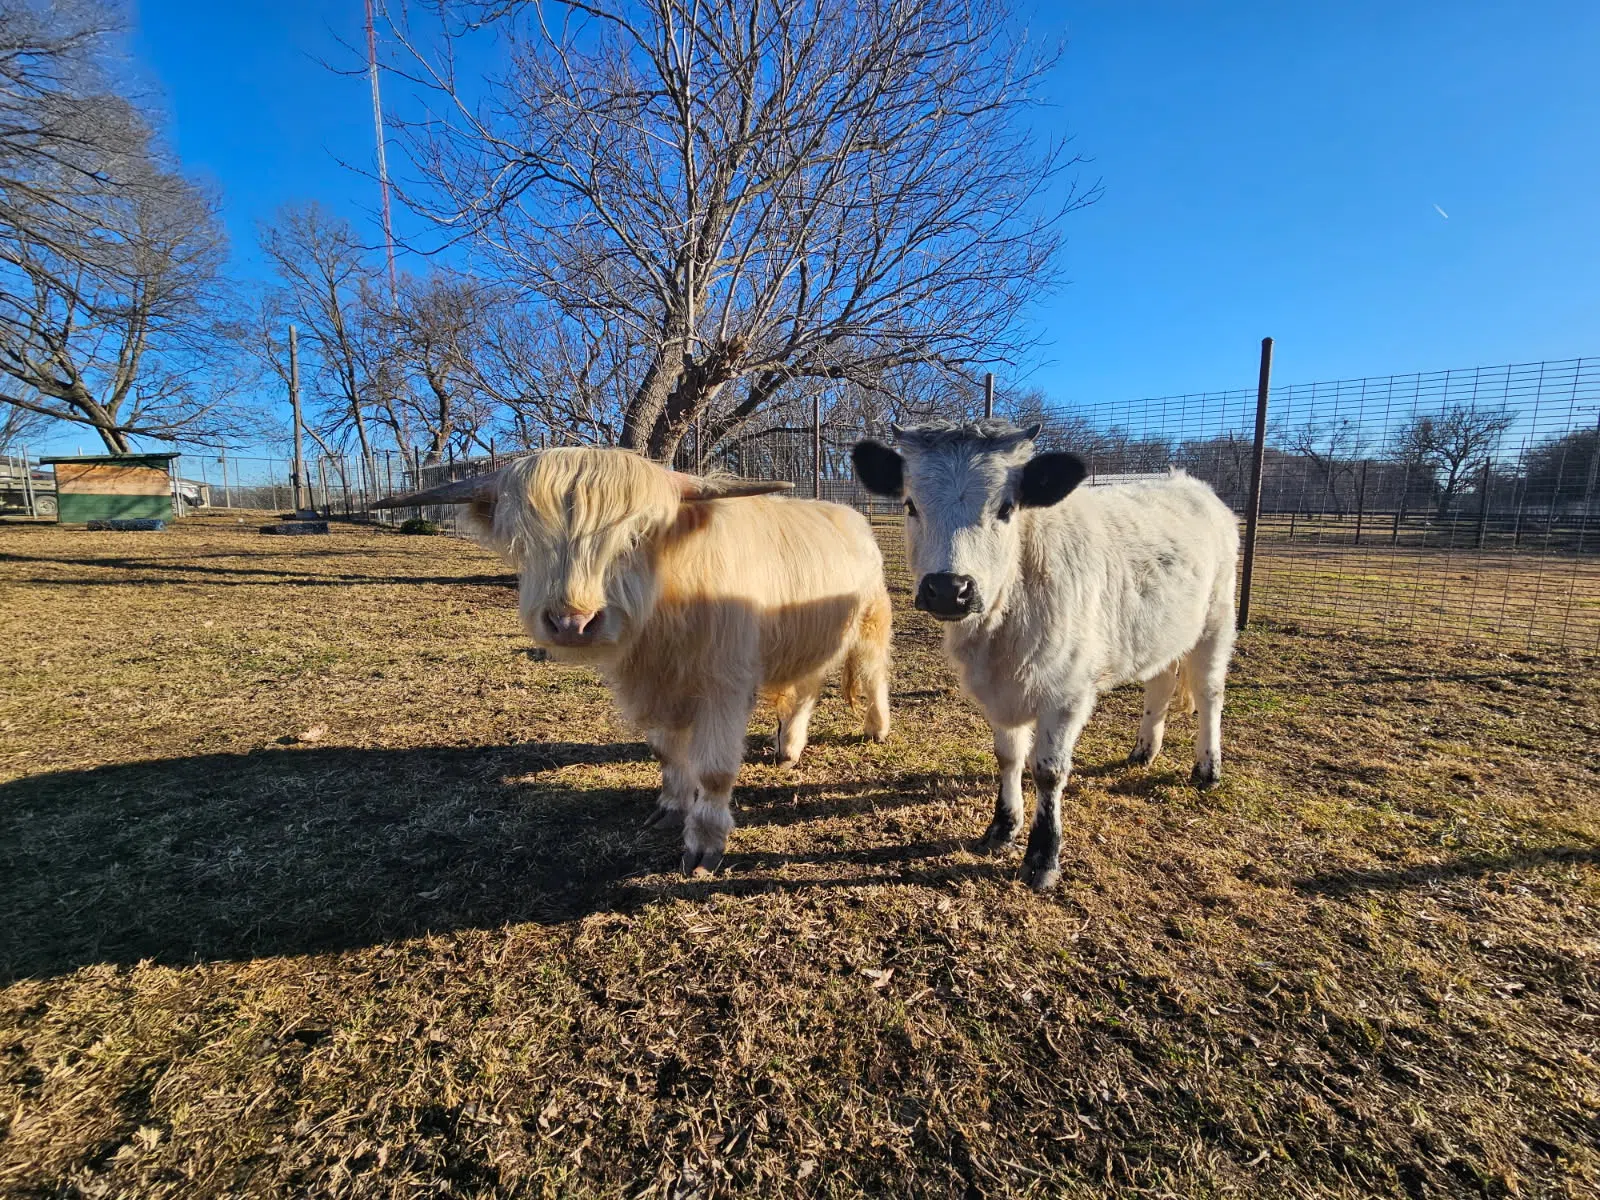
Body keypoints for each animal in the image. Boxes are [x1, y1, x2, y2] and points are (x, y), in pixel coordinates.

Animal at [379, 448, 892, 875]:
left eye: (633, 538)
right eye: (525, 543)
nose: (571, 622)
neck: (665, 612)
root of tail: (849, 514)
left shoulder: (724, 684)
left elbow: (714, 769)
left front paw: (704, 845)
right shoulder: (651, 685)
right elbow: (666, 752)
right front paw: (670, 807)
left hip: (870, 623)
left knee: (872, 674)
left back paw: (876, 728)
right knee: (805, 690)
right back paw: (788, 748)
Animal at [851, 420, 1238, 892]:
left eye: (1006, 508)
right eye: (910, 504)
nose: (949, 588)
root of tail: (1189, 483)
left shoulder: (1068, 693)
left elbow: (1048, 770)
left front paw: (1043, 856)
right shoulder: (999, 690)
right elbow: (1008, 756)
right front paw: (1002, 827)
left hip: (1216, 619)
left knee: (1209, 693)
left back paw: (1207, 769)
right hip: (1160, 633)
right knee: (1161, 681)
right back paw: (1144, 751)